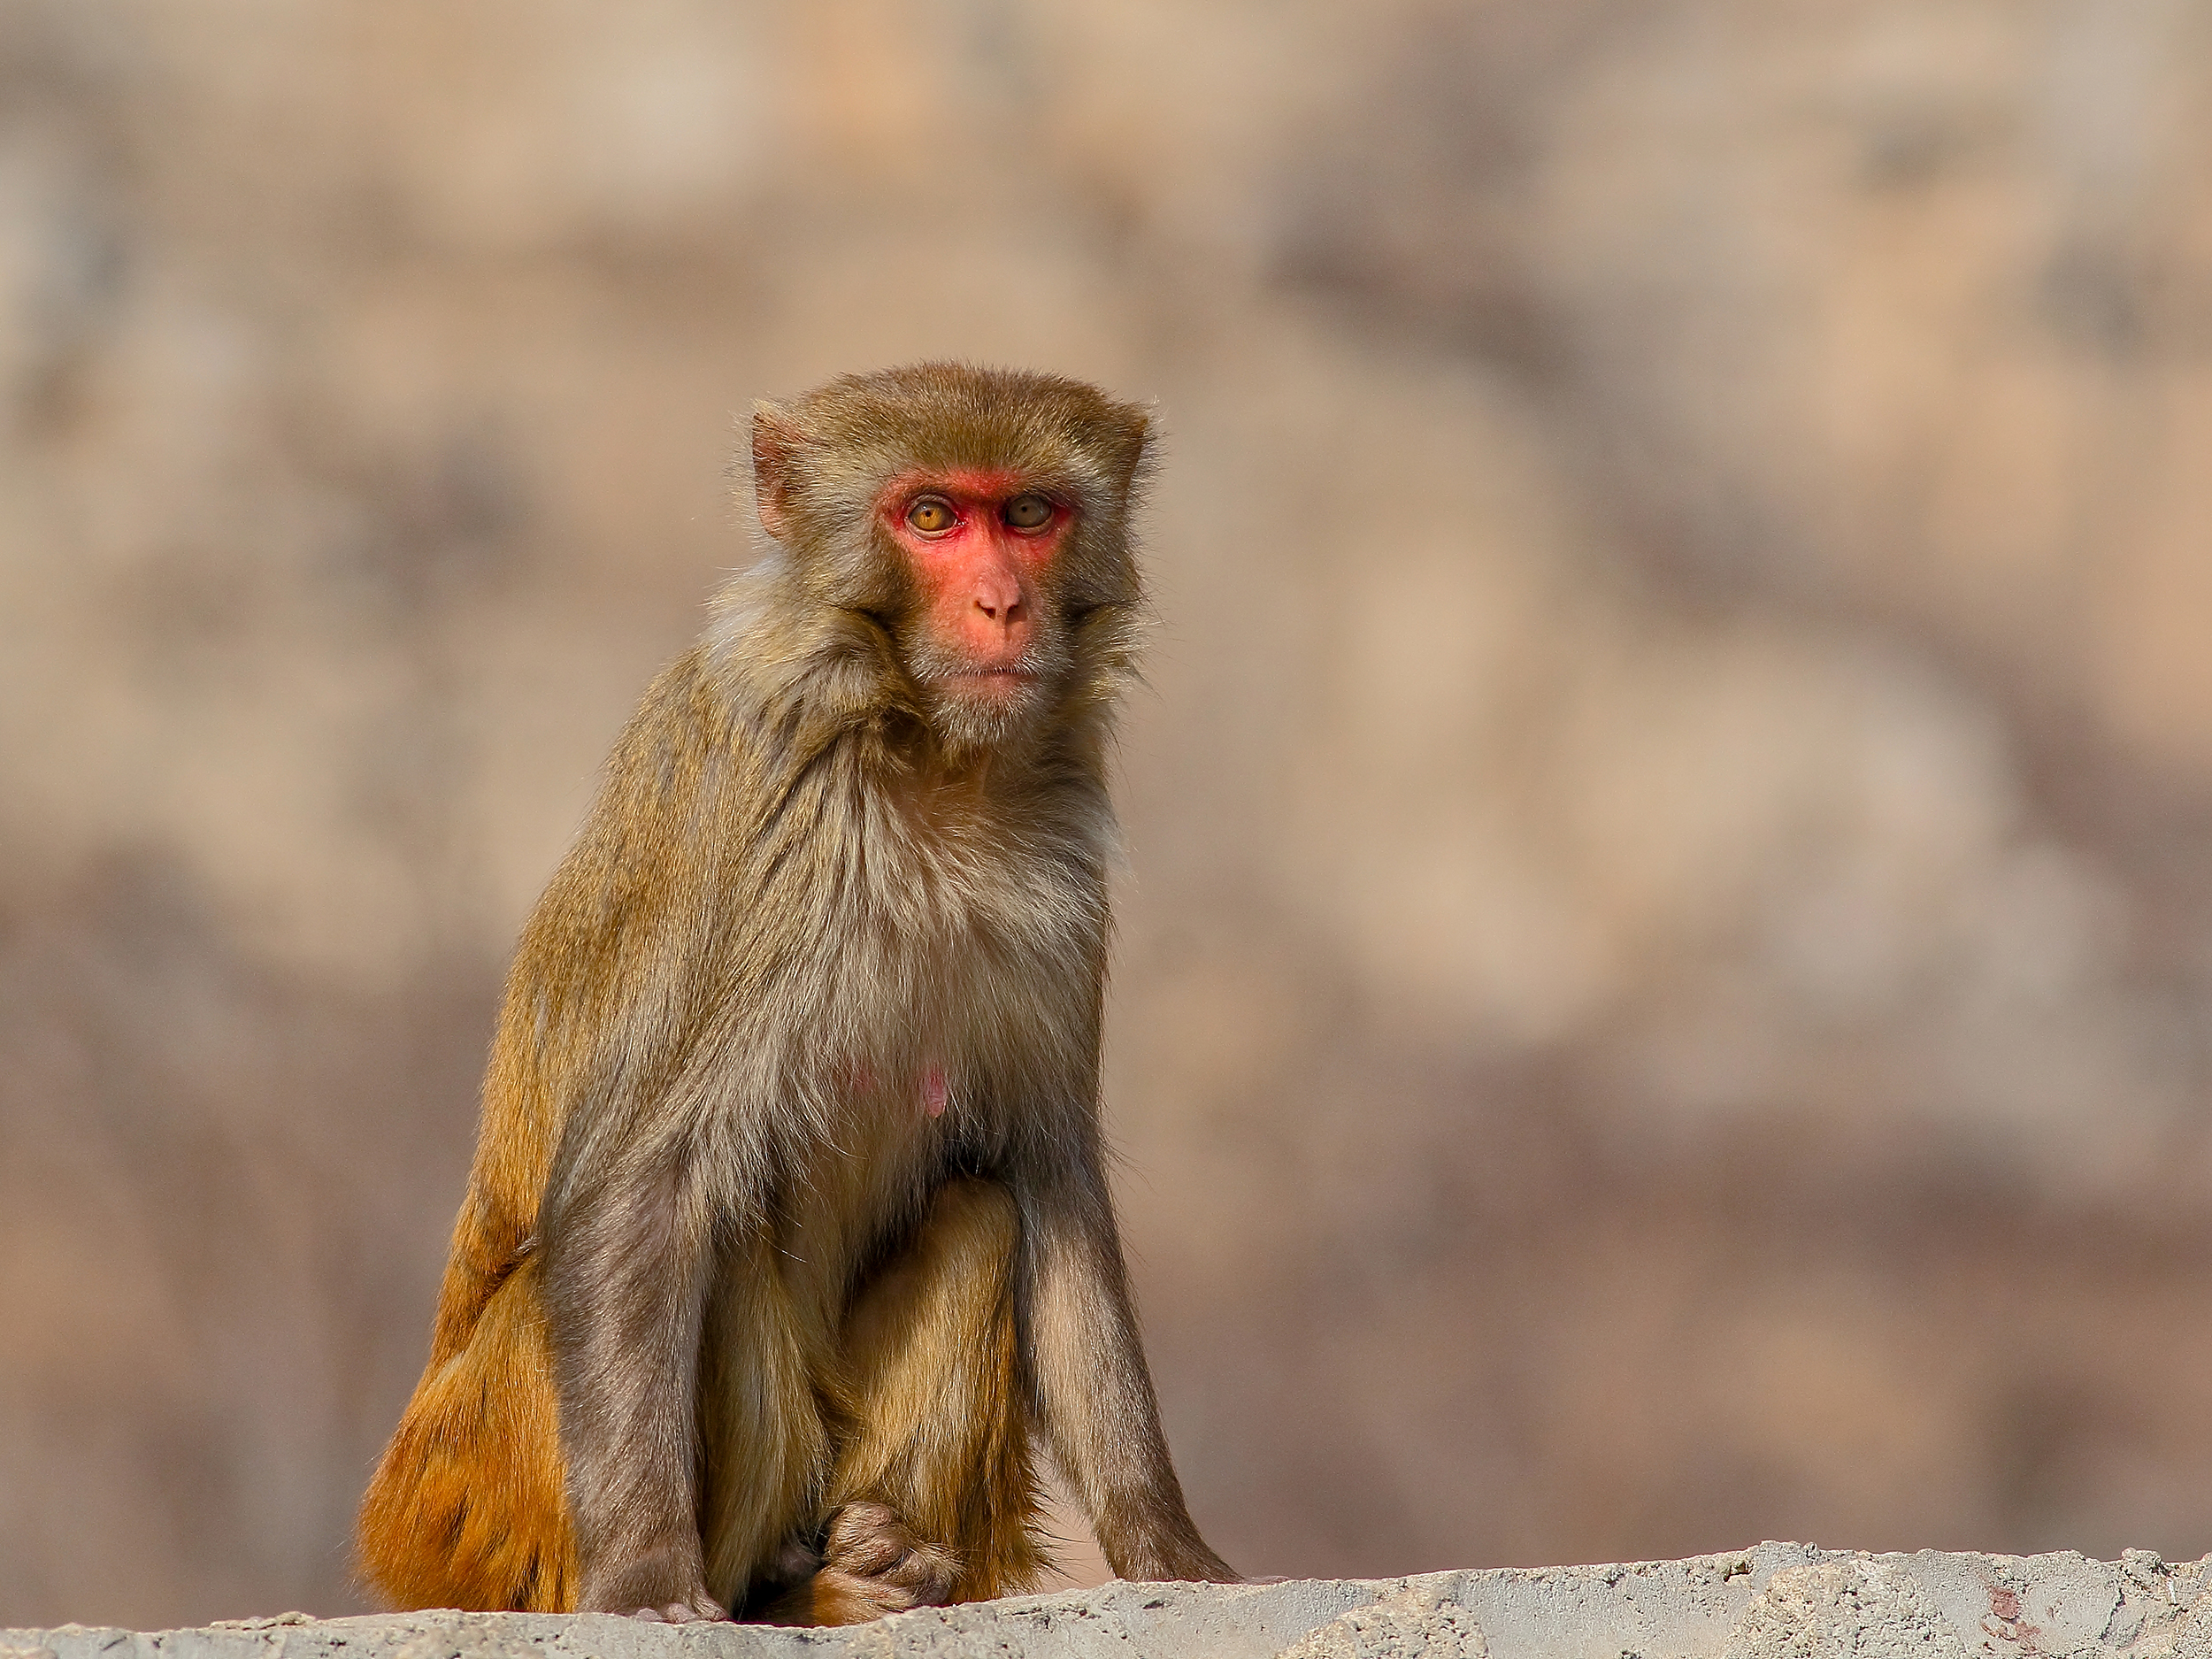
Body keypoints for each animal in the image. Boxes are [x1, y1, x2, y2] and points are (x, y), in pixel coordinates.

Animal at [356, 363, 1239, 1626]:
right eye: (931, 517)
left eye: (1028, 514)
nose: (1002, 607)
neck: (930, 759)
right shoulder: (765, 820)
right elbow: (641, 1191)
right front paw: (646, 1578)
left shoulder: (1064, 859)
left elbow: (1047, 1179)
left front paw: (1165, 1544)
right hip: (472, 1502)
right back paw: (791, 1594)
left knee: (980, 1215)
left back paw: (875, 1558)